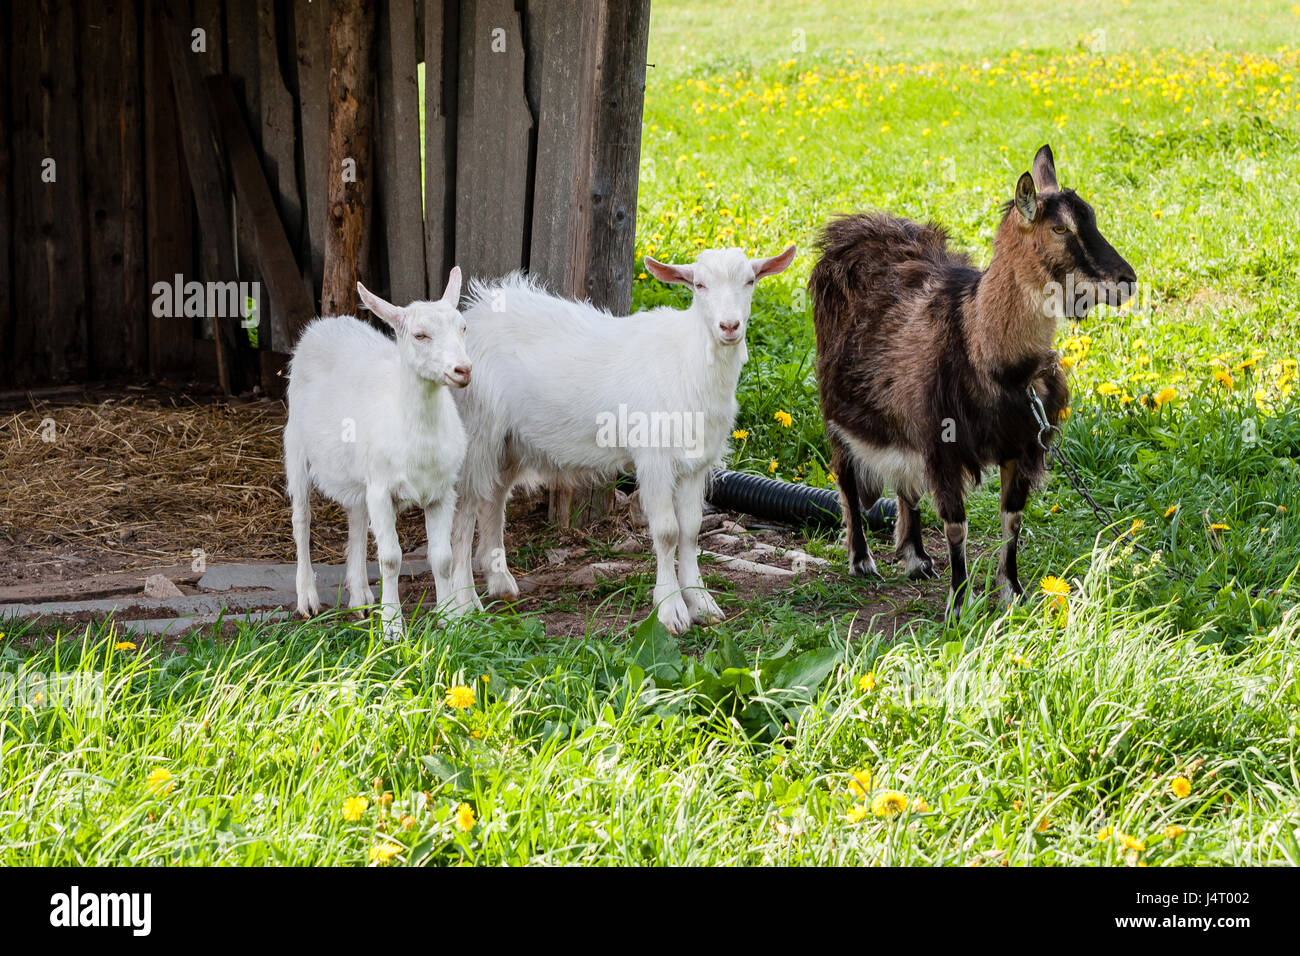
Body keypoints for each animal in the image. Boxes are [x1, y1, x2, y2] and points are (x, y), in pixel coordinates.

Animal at [283, 269, 474, 639]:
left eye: (463, 327)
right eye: (420, 335)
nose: (463, 369)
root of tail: (326, 323)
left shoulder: (442, 491)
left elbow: (442, 557)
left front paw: (451, 620)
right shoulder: (382, 488)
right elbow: (390, 558)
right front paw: (393, 627)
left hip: (359, 472)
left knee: (356, 518)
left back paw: (359, 598)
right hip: (295, 443)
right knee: (302, 518)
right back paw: (307, 599)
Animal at [448, 244, 797, 634]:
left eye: (750, 280)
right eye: (700, 285)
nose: (729, 326)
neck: (688, 361)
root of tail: (473, 315)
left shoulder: (696, 463)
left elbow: (691, 531)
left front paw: (701, 602)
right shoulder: (654, 458)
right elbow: (667, 532)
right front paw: (671, 608)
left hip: (509, 441)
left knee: (492, 499)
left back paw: (500, 582)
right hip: (477, 430)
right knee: (463, 514)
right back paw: (462, 605)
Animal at [809, 145, 1136, 621]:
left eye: (1091, 216)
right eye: (1059, 227)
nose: (1126, 281)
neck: (984, 348)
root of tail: (855, 225)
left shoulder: (1021, 445)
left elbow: (1012, 520)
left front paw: (1012, 593)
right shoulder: (943, 445)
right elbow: (957, 526)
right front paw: (959, 604)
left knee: (906, 481)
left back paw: (916, 557)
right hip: (837, 407)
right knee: (847, 475)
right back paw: (862, 559)